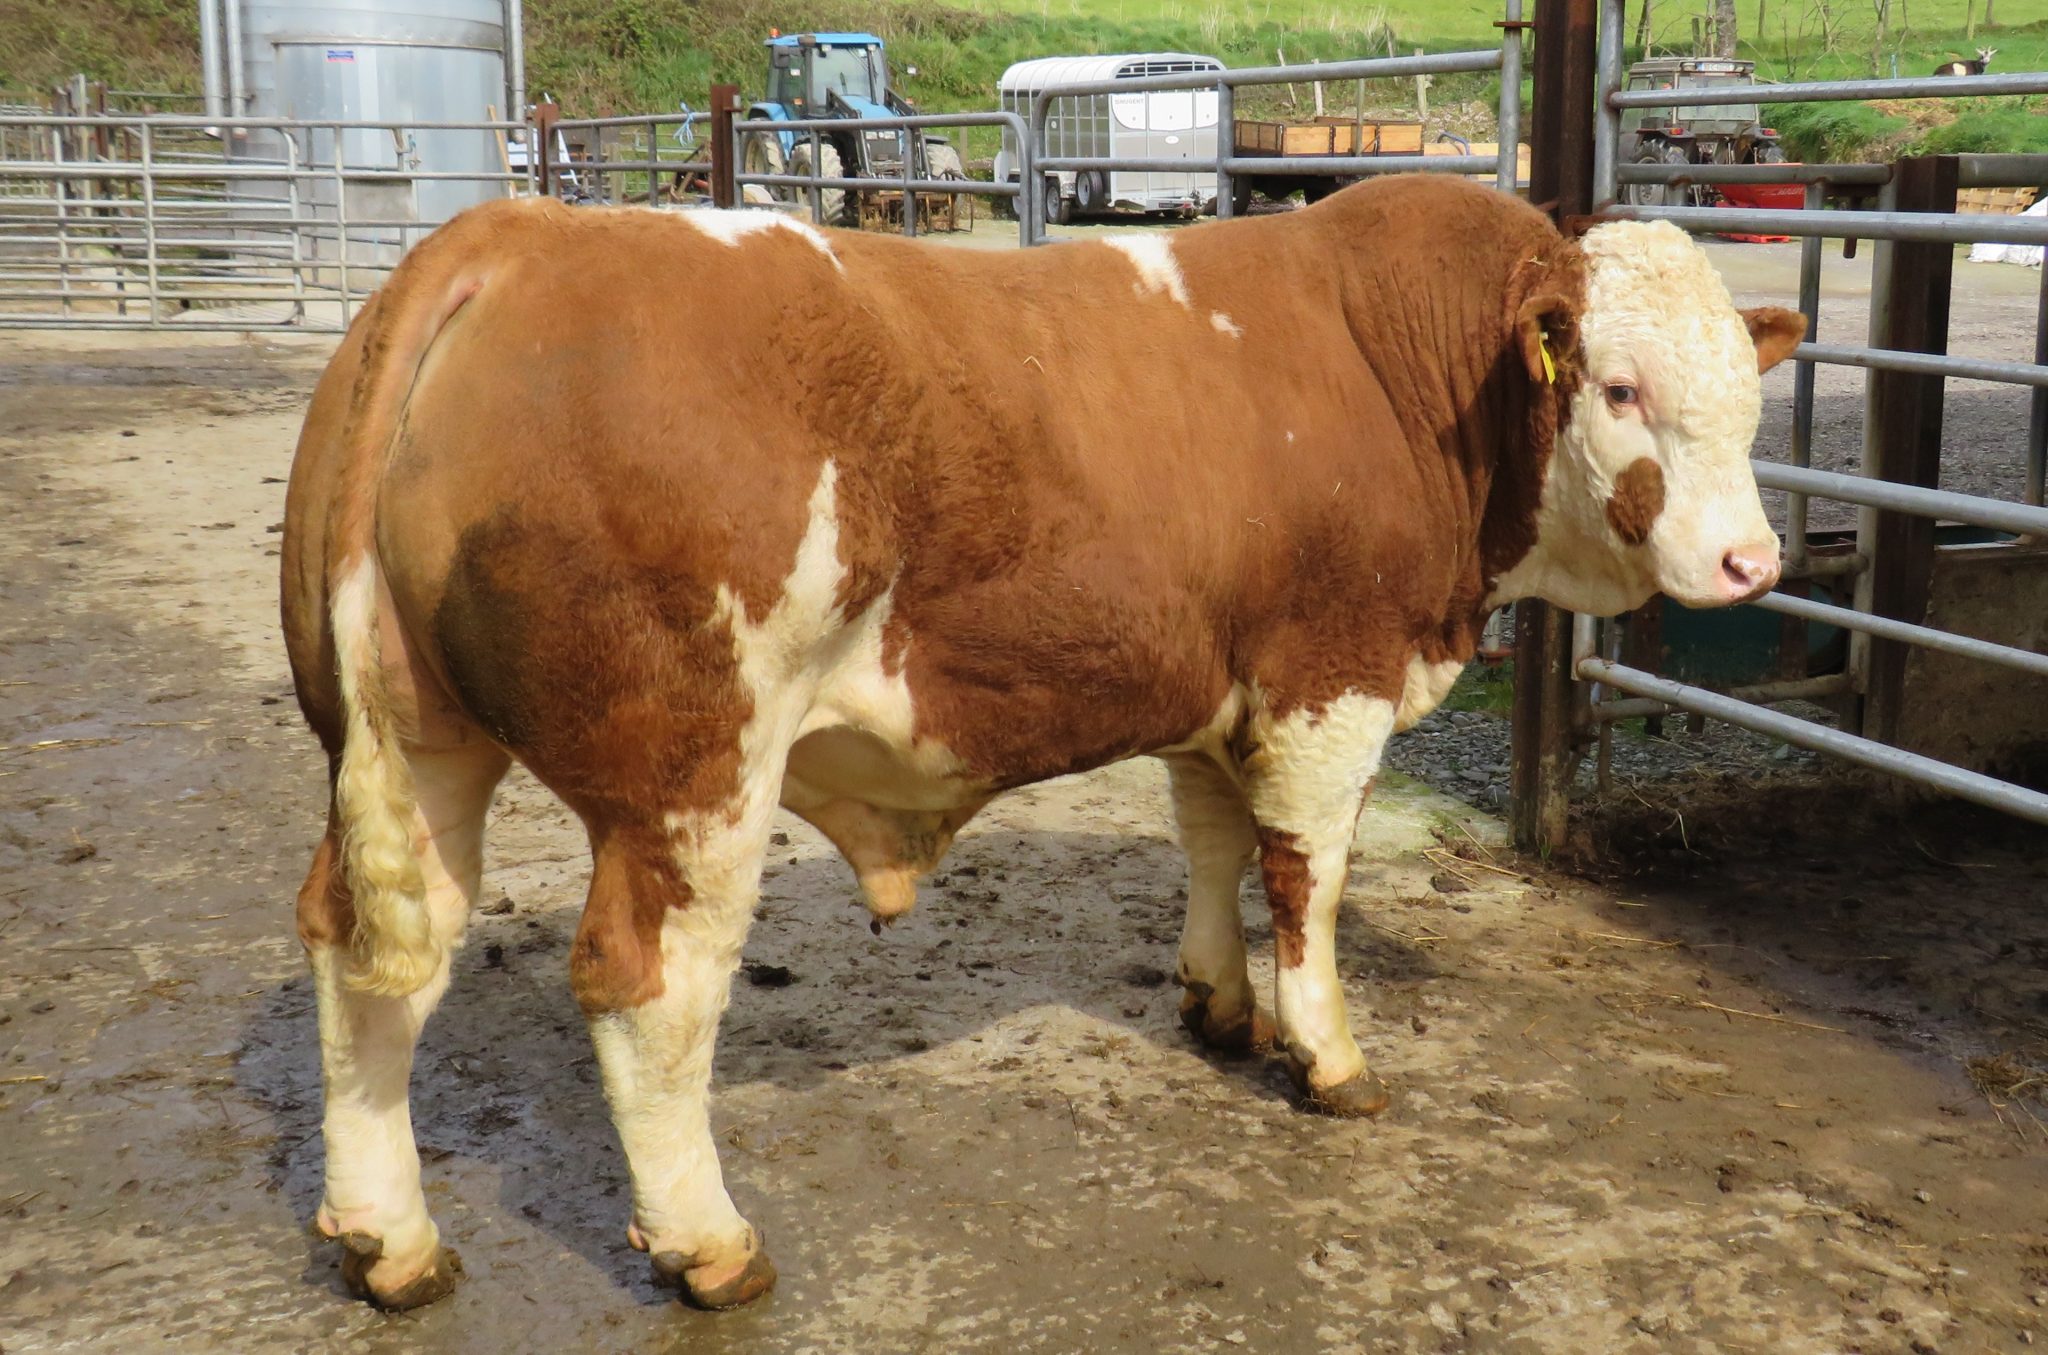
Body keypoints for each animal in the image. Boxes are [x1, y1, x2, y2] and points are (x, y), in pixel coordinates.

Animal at [281, 173, 1805, 1311]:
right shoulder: (1327, 680)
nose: (1752, 561)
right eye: (1618, 387)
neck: (1405, 380)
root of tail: (509, 237)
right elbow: (1307, 877)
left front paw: (1217, 1001)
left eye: (1748, 393)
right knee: (647, 987)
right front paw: (1325, 1053)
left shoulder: (1208, 680)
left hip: (416, 738)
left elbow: (1210, 838)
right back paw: (709, 1242)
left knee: (372, 953)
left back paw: (387, 1237)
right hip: (689, 774)